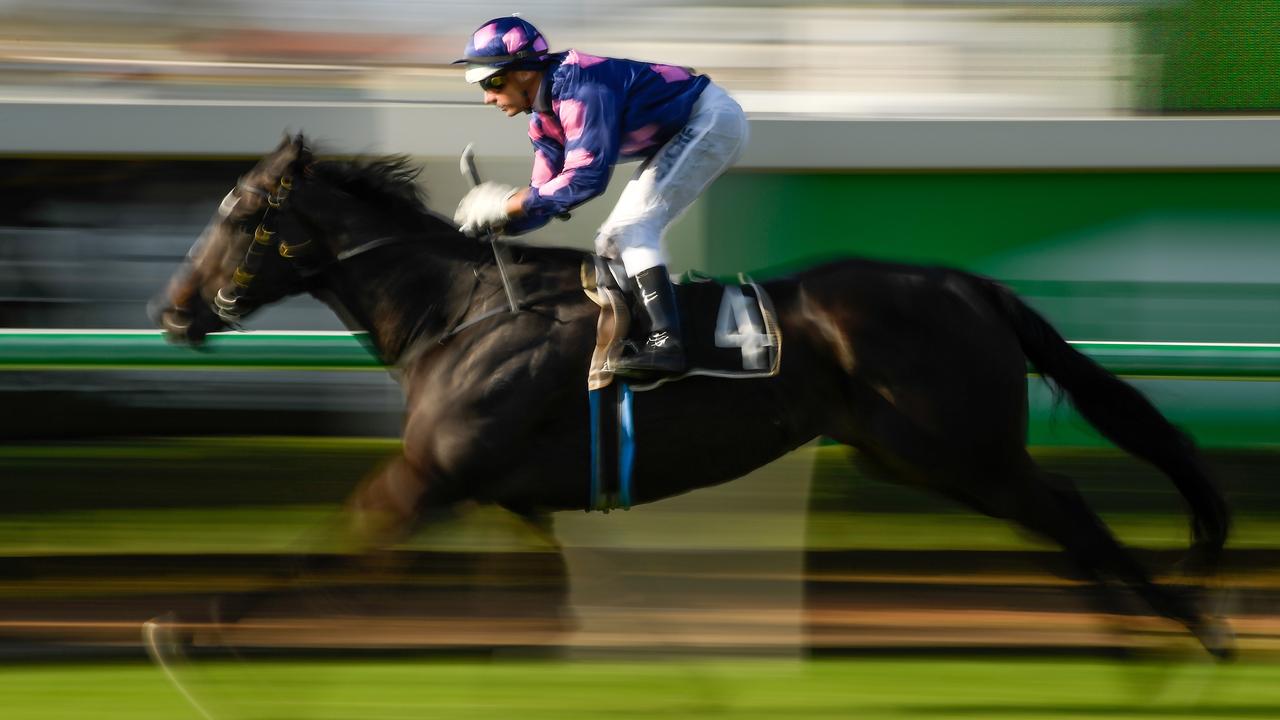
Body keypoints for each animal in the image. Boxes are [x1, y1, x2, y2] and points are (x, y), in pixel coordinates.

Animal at [152, 134, 1232, 658]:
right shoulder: (512, 499)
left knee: (1067, 510)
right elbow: (552, 604)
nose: (171, 312)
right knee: (1057, 525)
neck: (458, 313)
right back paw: (1132, 632)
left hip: (955, 447)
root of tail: (966, 285)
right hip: (922, 454)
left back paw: (1186, 632)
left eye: (239, 215)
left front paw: (187, 631)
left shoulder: (428, 478)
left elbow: (316, 552)